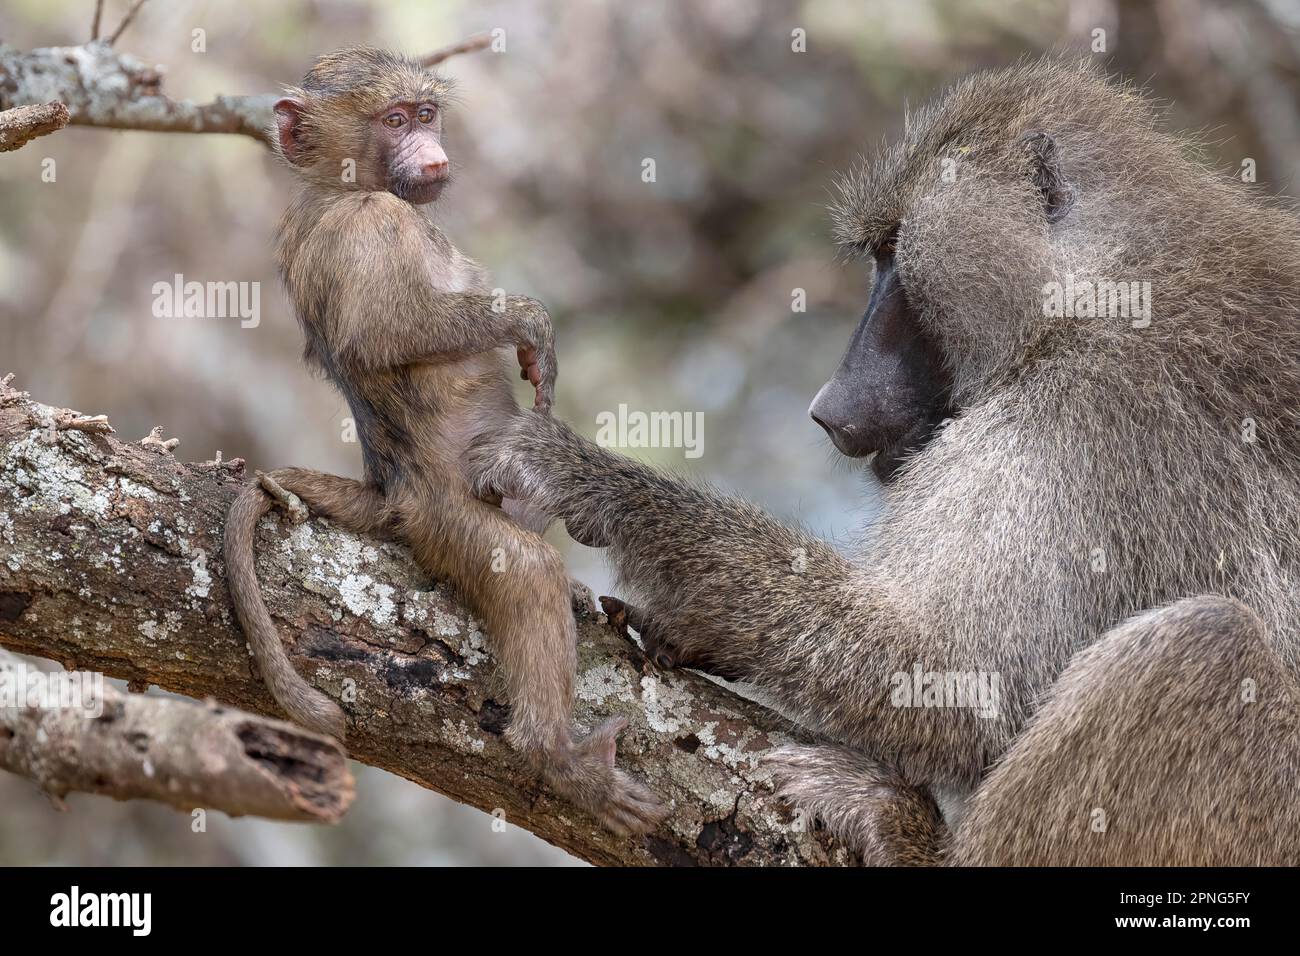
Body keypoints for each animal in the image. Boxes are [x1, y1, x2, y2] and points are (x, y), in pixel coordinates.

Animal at [222, 47, 666, 836]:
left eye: (426, 115)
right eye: (394, 121)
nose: (431, 151)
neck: (341, 188)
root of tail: (391, 490)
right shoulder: (370, 224)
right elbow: (384, 332)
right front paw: (529, 325)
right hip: (445, 521)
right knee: (524, 569)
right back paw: (558, 758)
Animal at [467, 58, 1300, 864]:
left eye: (896, 252)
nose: (828, 408)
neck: (1108, 282)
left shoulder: (1075, 419)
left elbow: (950, 677)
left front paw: (586, 479)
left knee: (1208, 643)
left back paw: (910, 839)